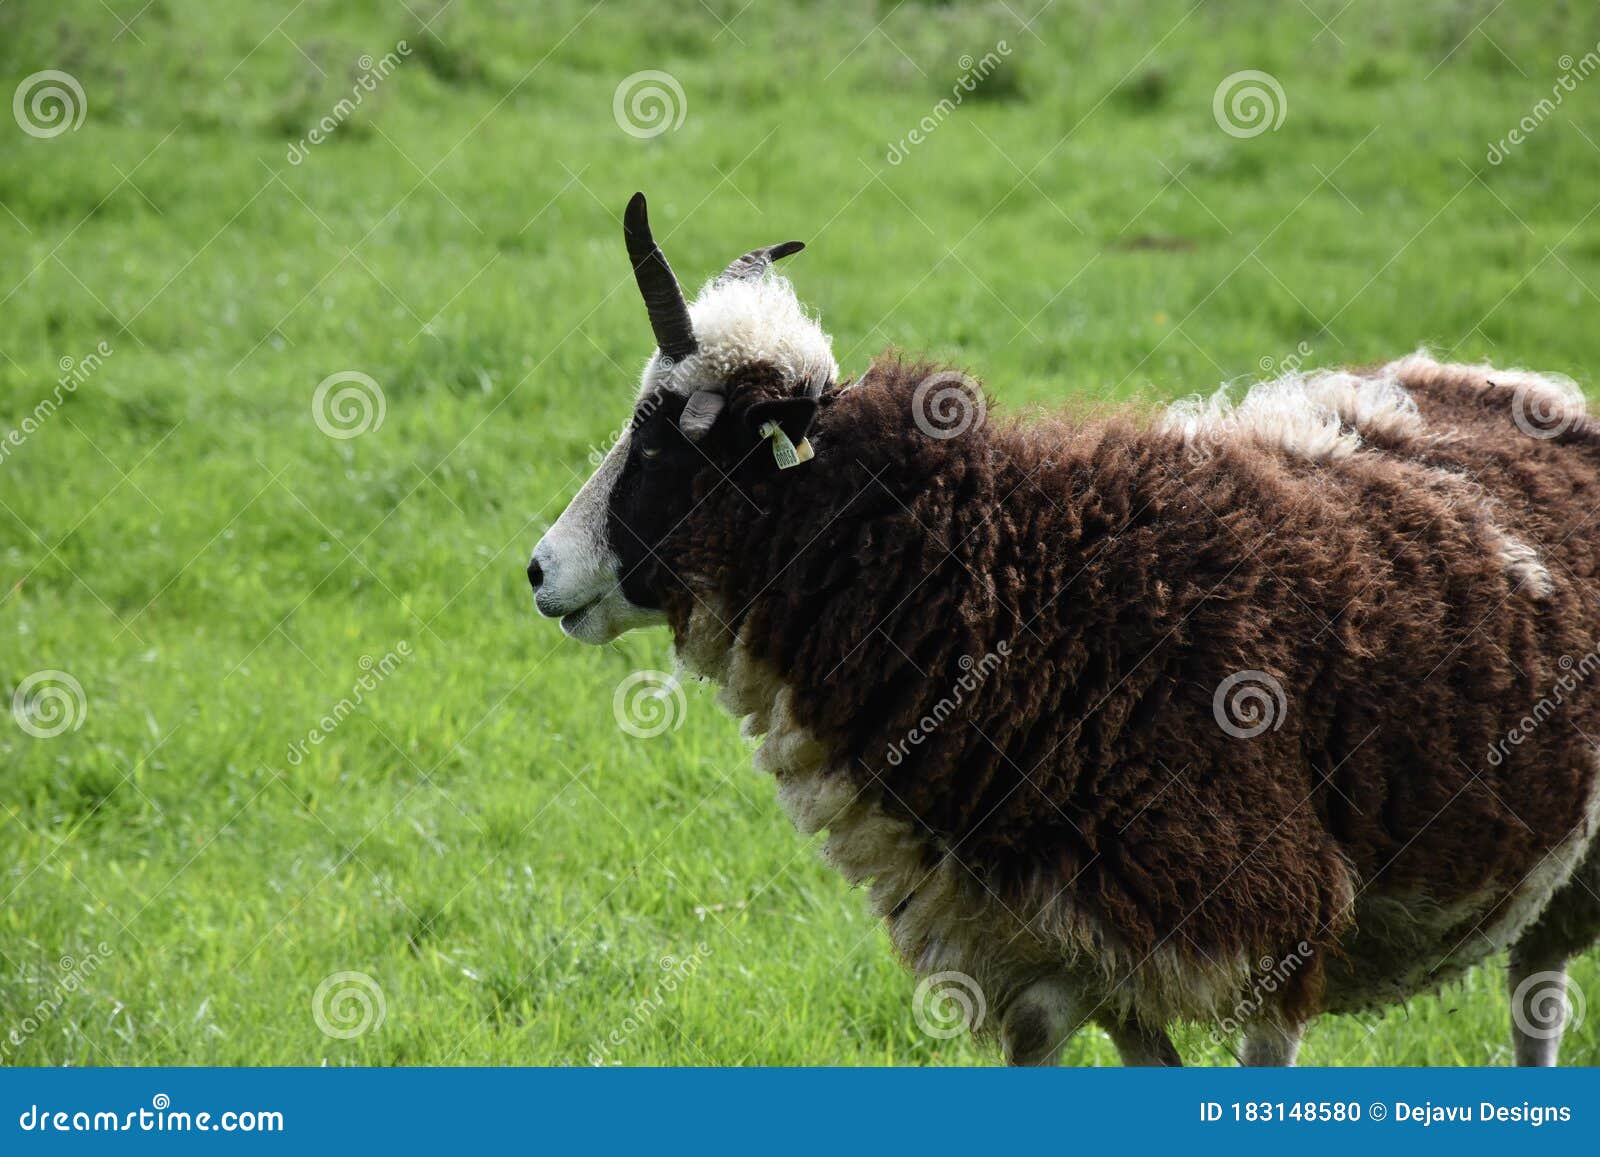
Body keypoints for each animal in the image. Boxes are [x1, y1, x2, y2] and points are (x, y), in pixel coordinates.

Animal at [527, 192, 1600, 1065]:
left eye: (664, 440)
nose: (539, 570)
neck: (1015, 584)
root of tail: (1533, 387)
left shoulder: (1269, 930)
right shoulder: (1044, 958)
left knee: (1538, 1014)